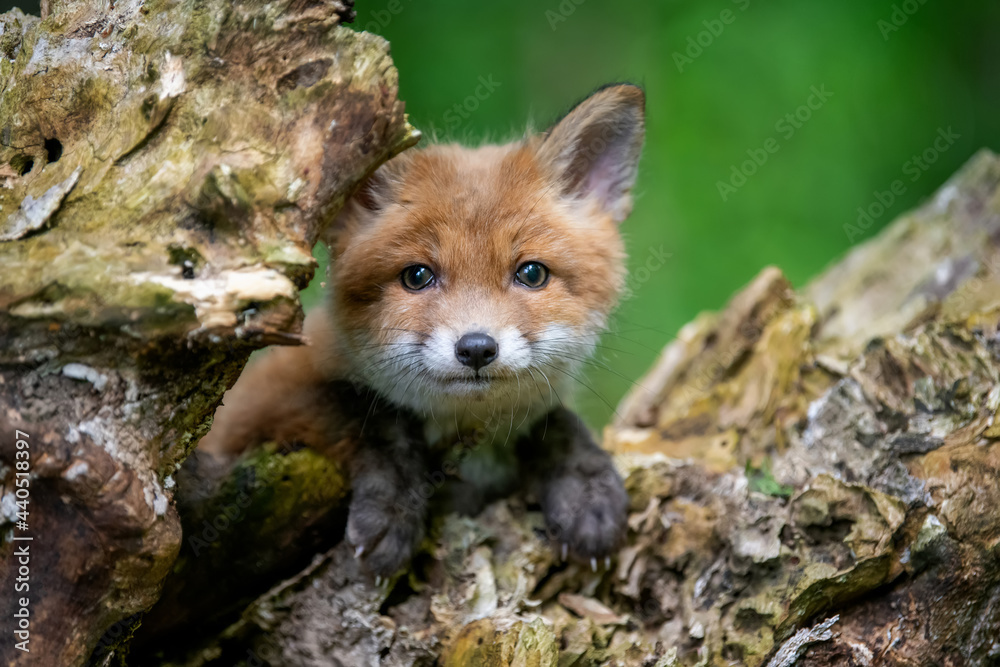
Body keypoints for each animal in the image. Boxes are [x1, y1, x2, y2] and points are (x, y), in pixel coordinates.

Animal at [198, 83, 646, 577]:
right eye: (417, 276)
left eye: (531, 273)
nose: (476, 349)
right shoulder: (261, 404)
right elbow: (367, 414)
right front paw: (395, 506)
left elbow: (558, 423)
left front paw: (587, 489)